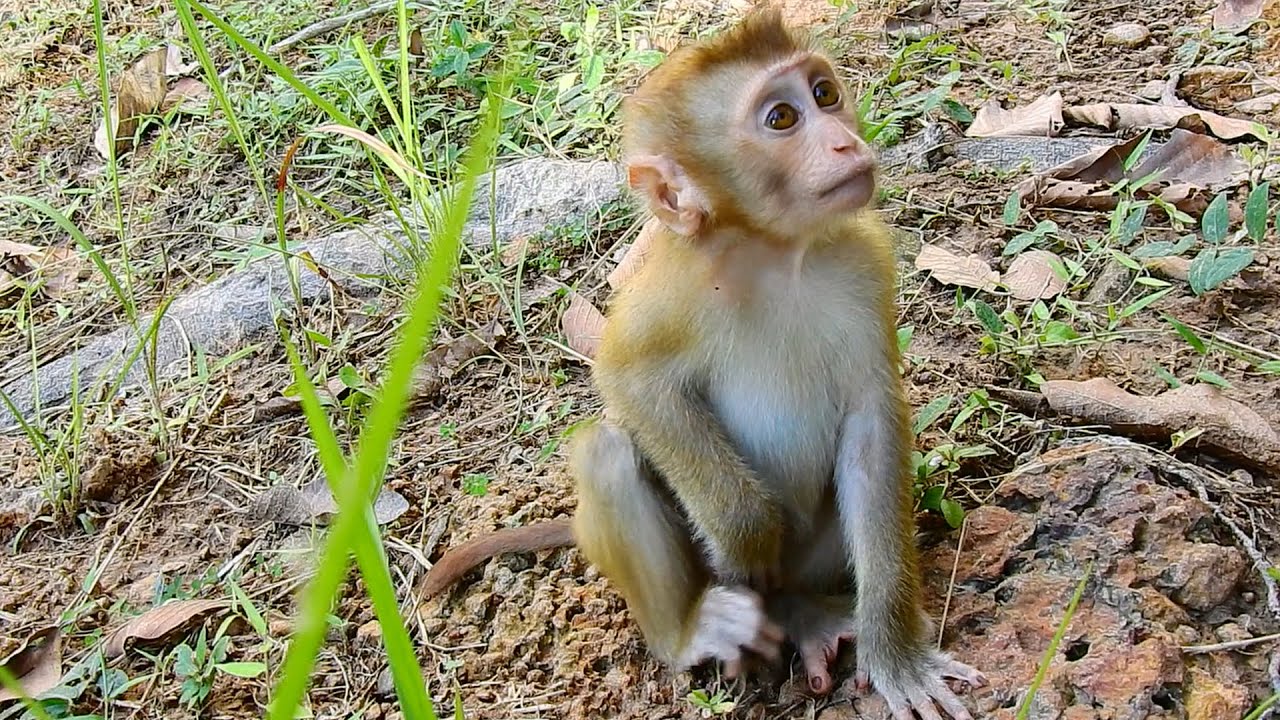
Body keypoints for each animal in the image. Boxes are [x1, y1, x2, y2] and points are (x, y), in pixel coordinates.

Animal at [420, 9, 986, 719]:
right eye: (782, 118)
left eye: (825, 94)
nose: (844, 144)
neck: (773, 256)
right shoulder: (674, 287)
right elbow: (629, 378)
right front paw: (747, 533)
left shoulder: (865, 264)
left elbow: (872, 433)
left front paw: (898, 657)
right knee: (609, 451)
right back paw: (692, 631)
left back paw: (801, 611)